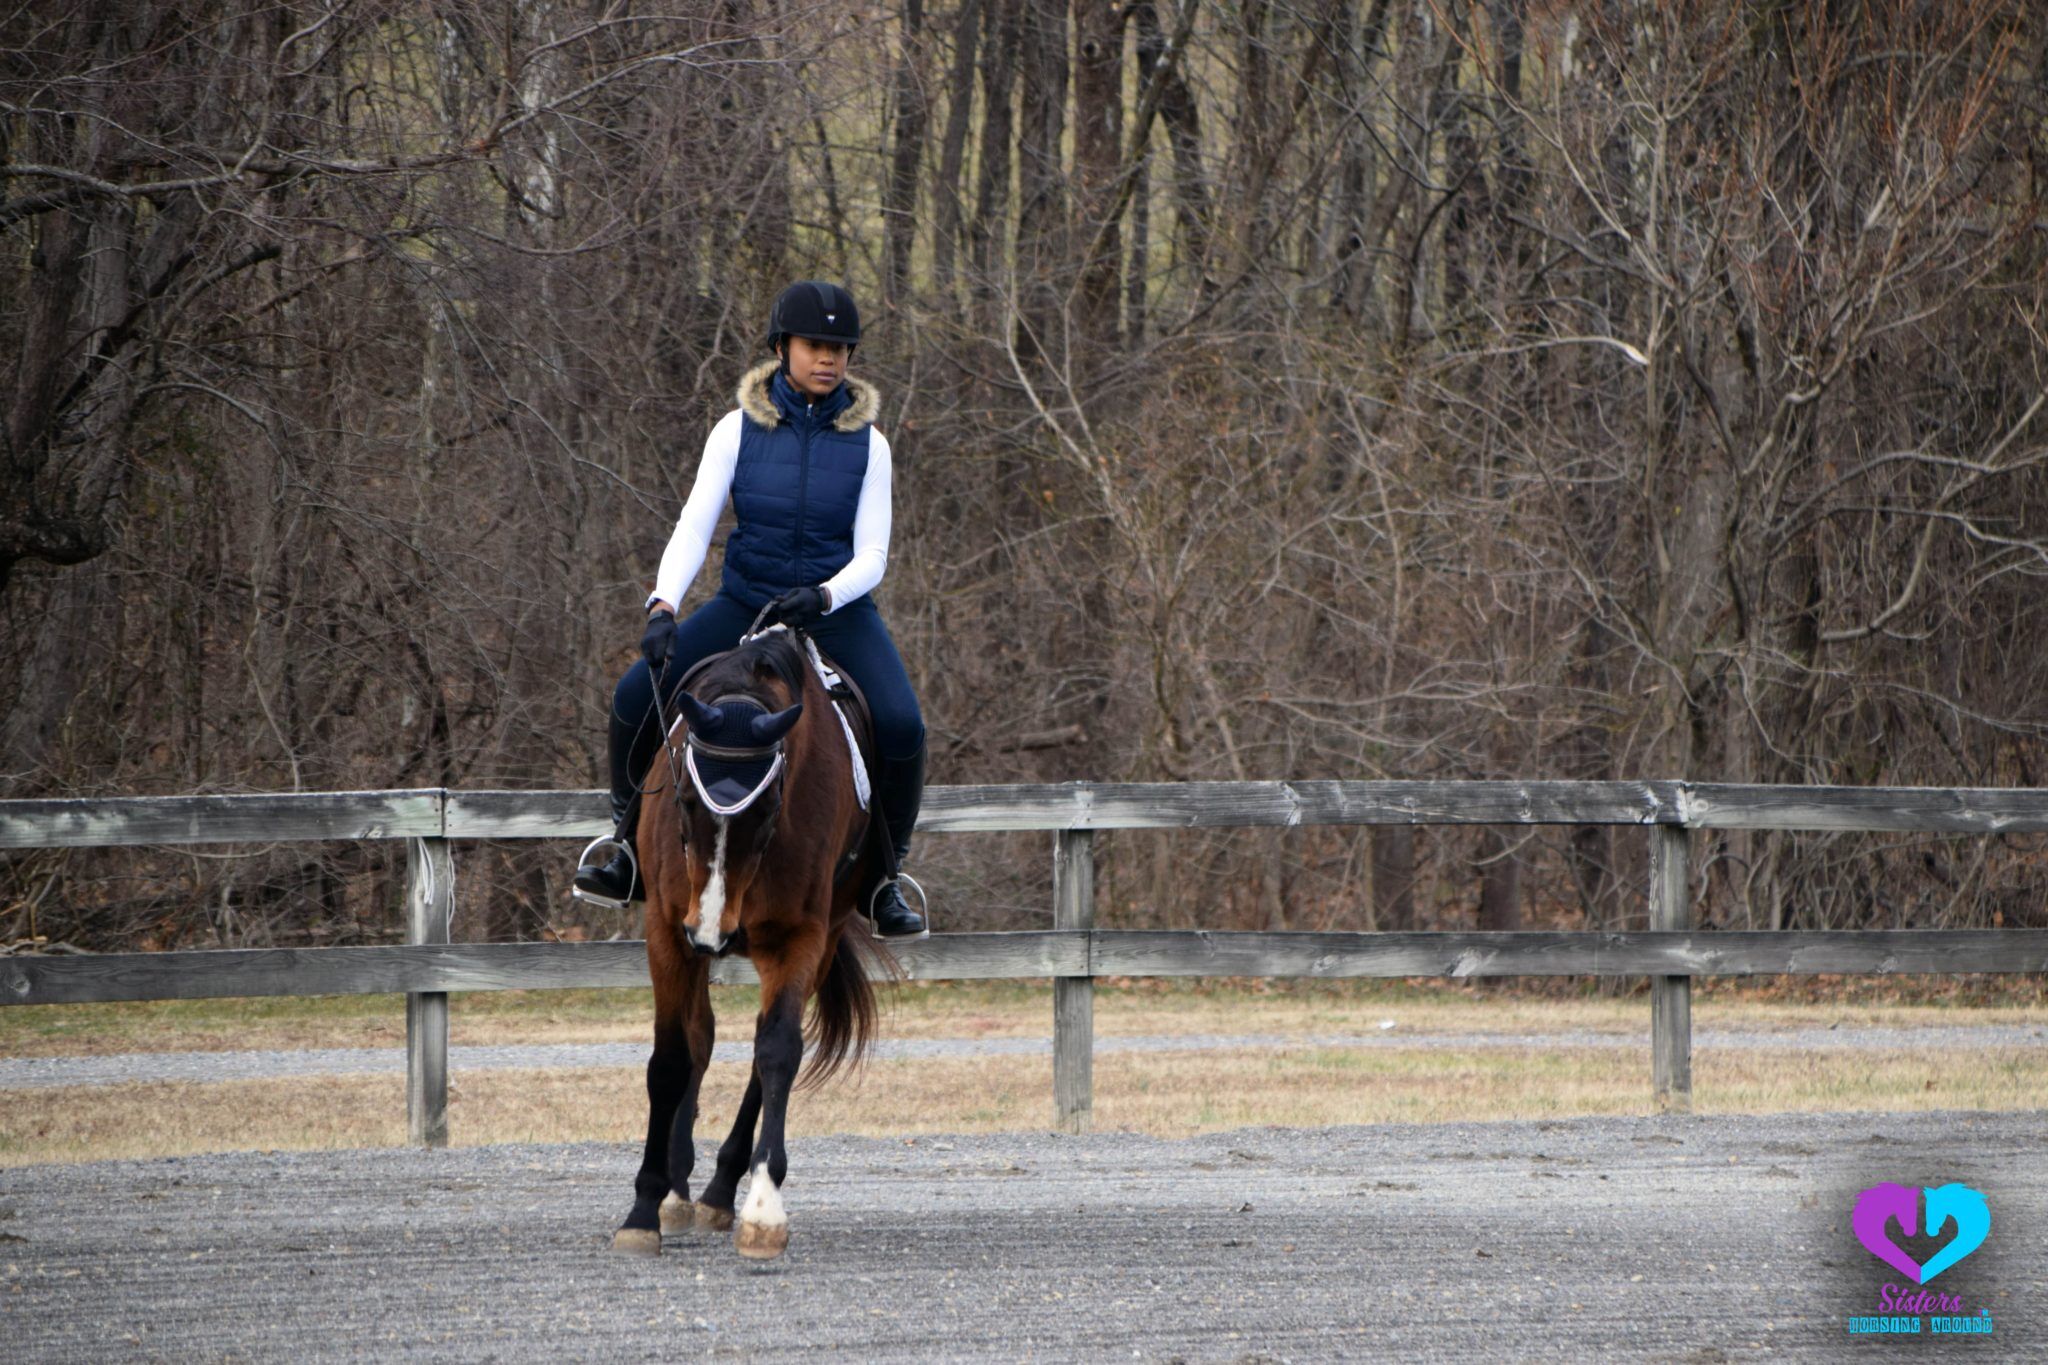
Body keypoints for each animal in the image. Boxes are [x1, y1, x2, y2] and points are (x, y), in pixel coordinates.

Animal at [610, 625, 888, 1261]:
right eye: (686, 799)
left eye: (768, 808)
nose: (714, 929)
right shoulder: (667, 931)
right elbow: (670, 1059)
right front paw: (643, 1209)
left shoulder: (800, 938)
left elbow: (778, 1050)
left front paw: (763, 1209)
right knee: (700, 1038)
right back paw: (677, 1190)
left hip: (818, 937)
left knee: (763, 1056)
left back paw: (718, 1190)